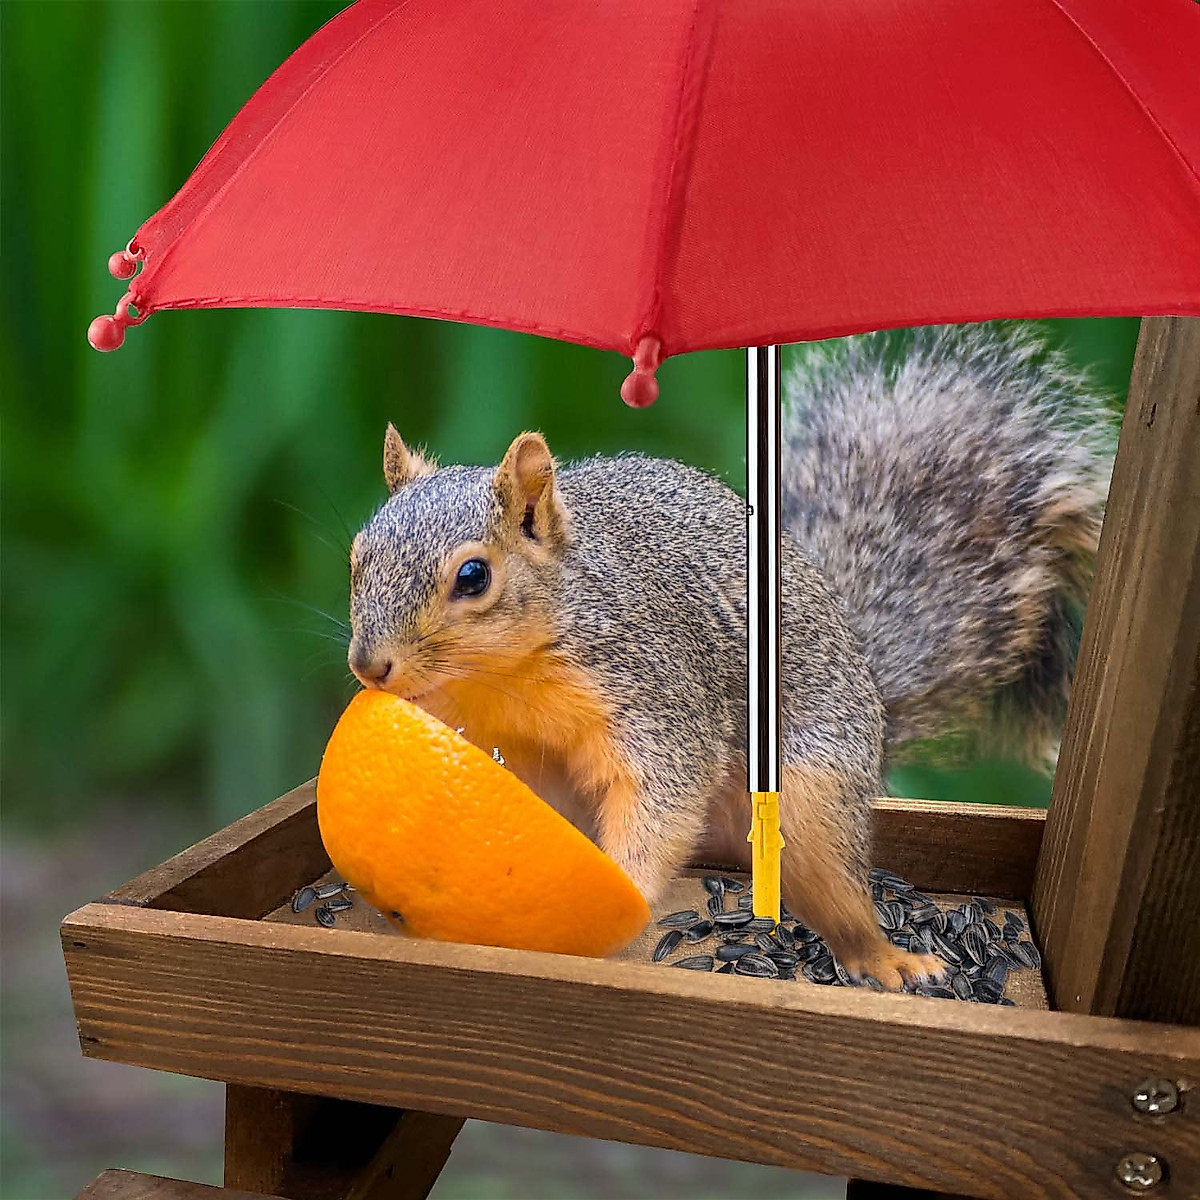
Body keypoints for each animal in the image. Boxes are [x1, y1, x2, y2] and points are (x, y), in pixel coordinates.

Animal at [346, 322, 1114, 989]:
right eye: (357, 556)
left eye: (474, 577)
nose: (368, 666)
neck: (505, 674)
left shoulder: (653, 693)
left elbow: (664, 797)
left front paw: (621, 892)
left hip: (812, 793)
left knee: (833, 887)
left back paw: (887, 958)